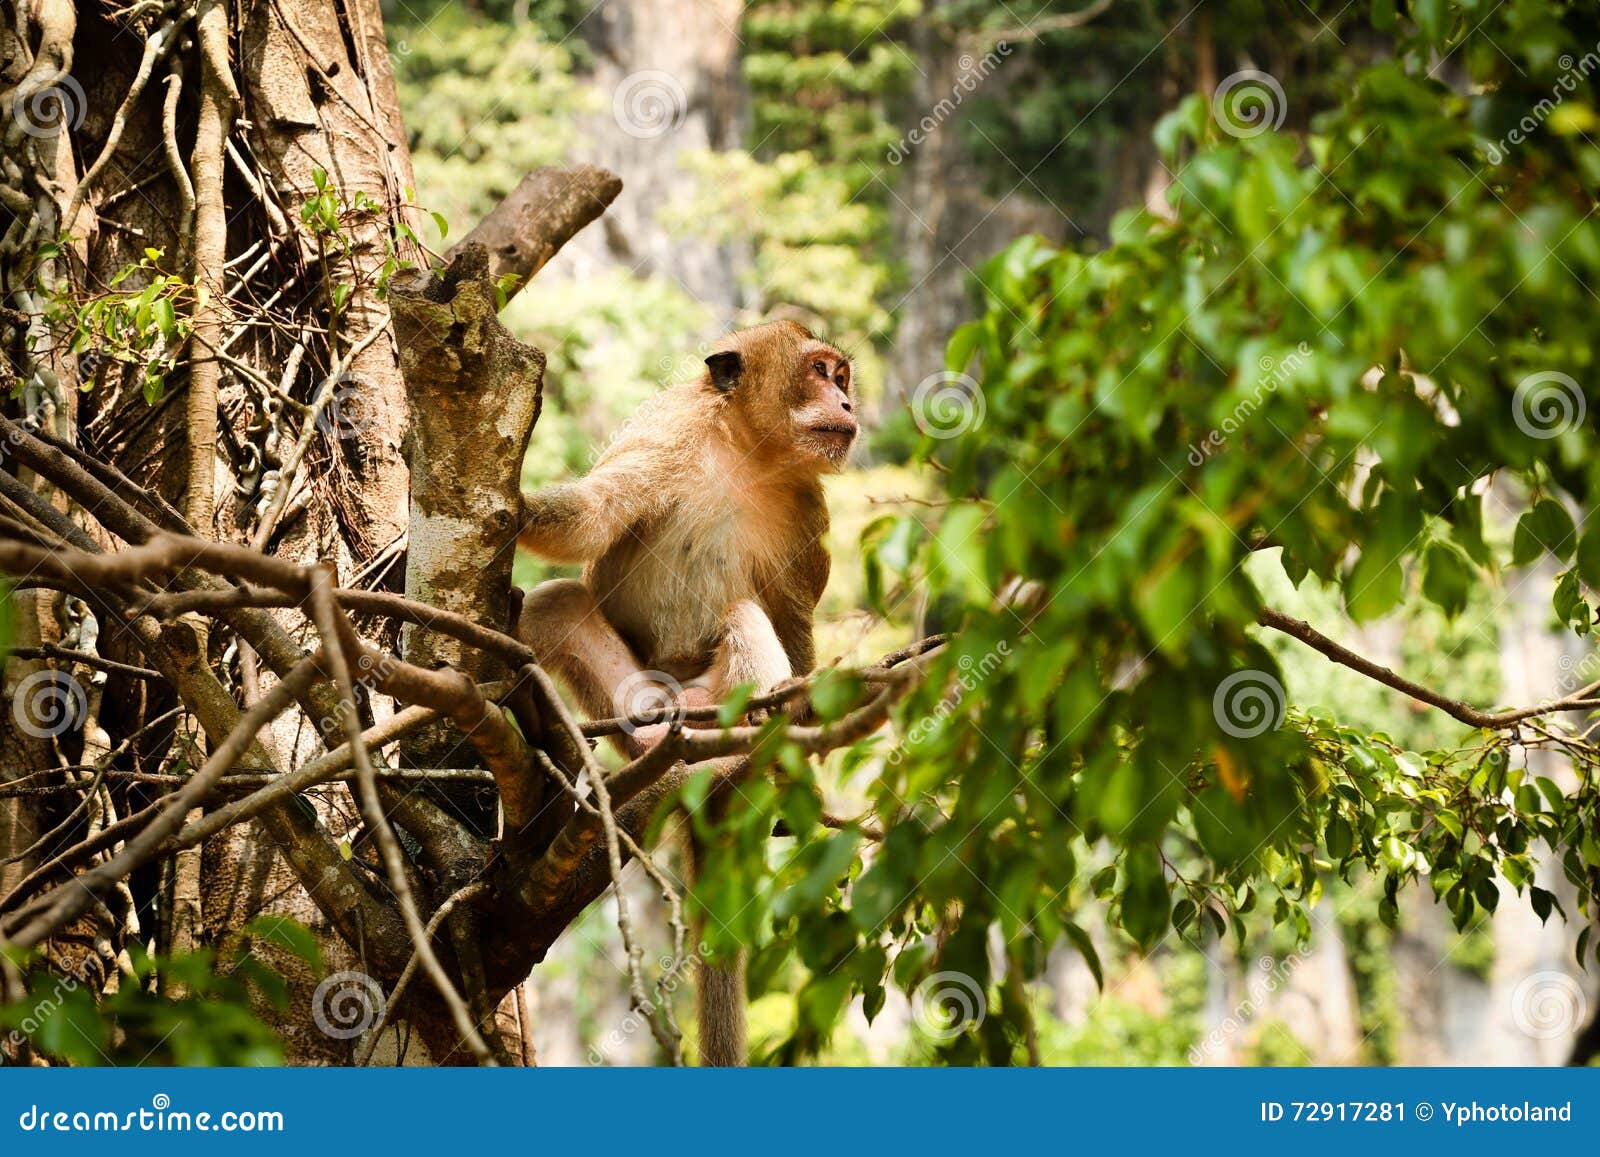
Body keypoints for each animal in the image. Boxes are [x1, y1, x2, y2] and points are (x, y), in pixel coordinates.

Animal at [514, 319, 857, 1065]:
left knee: (743, 614)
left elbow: (792, 619)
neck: (746, 453)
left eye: (841, 376)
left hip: (712, 688)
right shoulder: (666, 435)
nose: (848, 404)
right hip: (636, 690)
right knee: (552, 605)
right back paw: (651, 734)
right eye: (820, 372)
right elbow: (592, 516)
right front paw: (517, 507)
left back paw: (738, 741)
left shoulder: (806, 508)